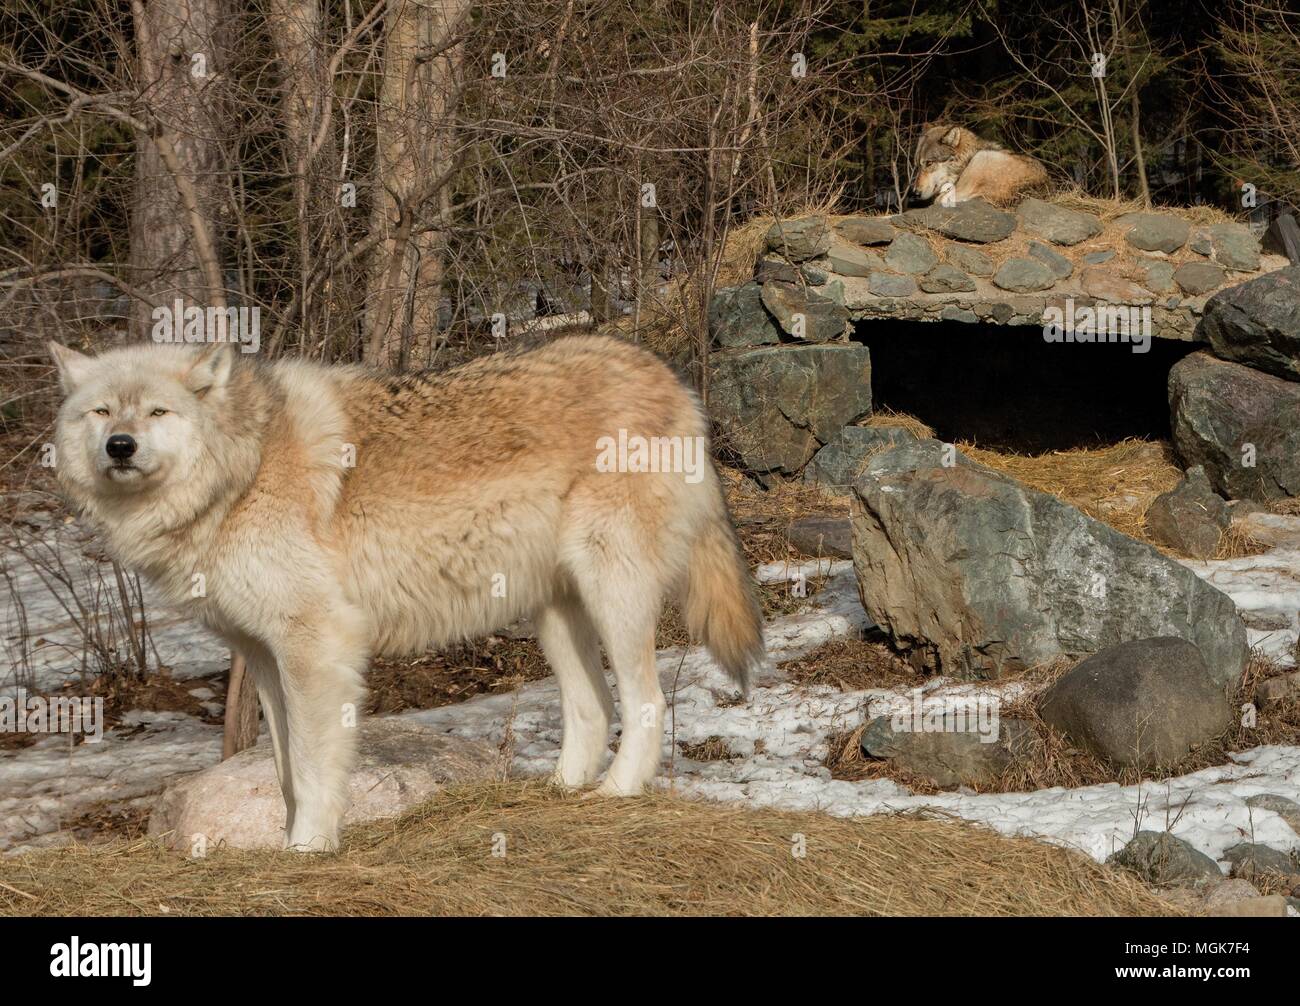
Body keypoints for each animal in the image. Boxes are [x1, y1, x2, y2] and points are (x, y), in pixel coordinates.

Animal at [48, 335, 764, 851]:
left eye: (158, 412)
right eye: (102, 412)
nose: (120, 446)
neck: (240, 474)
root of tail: (672, 376)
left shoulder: (318, 644)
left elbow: (313, 768)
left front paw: (309, 848)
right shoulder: (264, 656)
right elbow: (284, 771)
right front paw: (286, 845)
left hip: (612, 592)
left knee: (646, 704)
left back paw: (616, 794)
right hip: (555, 612)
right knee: (592, 707)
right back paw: (555, 794)